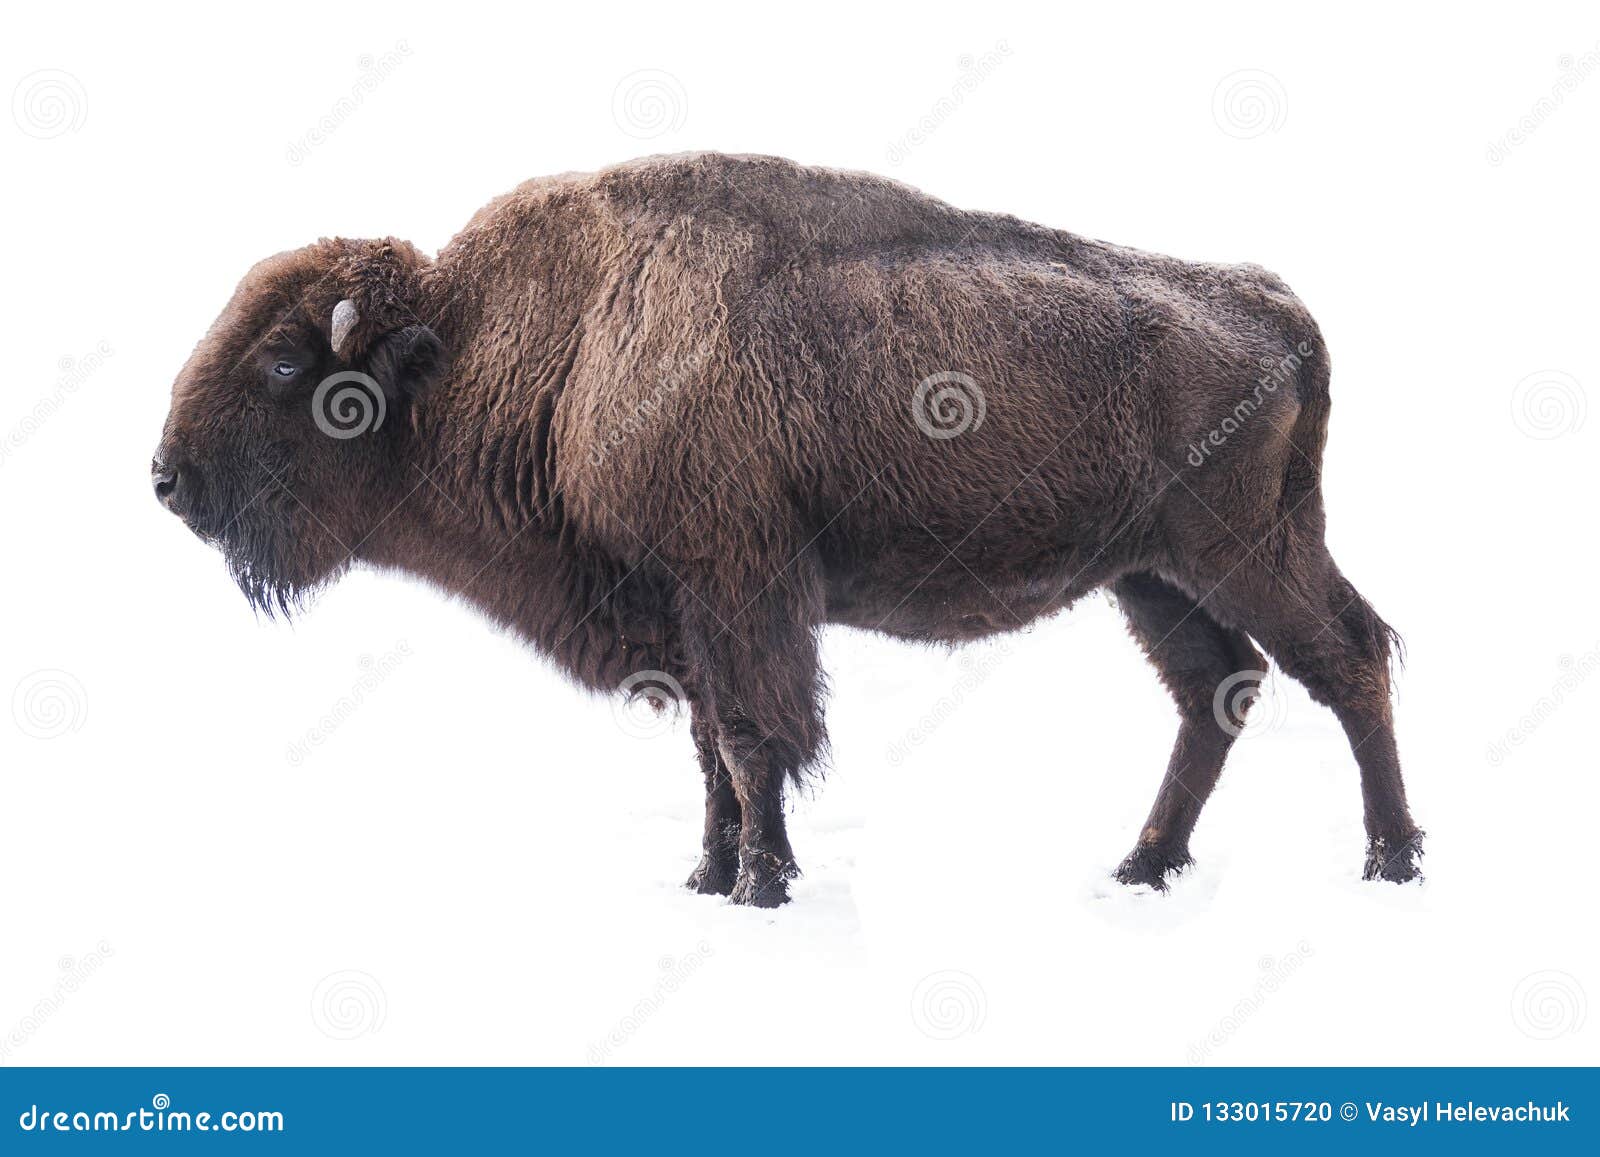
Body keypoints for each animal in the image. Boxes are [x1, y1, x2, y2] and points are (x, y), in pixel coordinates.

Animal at [152, 151, 1422, 905]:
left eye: (285, 365)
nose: (166, 479)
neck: (536, 347)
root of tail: (1271, 303)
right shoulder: (682, 612)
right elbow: (710, 742)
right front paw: (708, 875)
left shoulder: (737, 589)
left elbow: (756, 737)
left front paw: (763, 883)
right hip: (1150, 574)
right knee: (1219, 687)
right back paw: (1143, 863)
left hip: (1244, 551)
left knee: (1347, 657)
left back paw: (1388, 859)